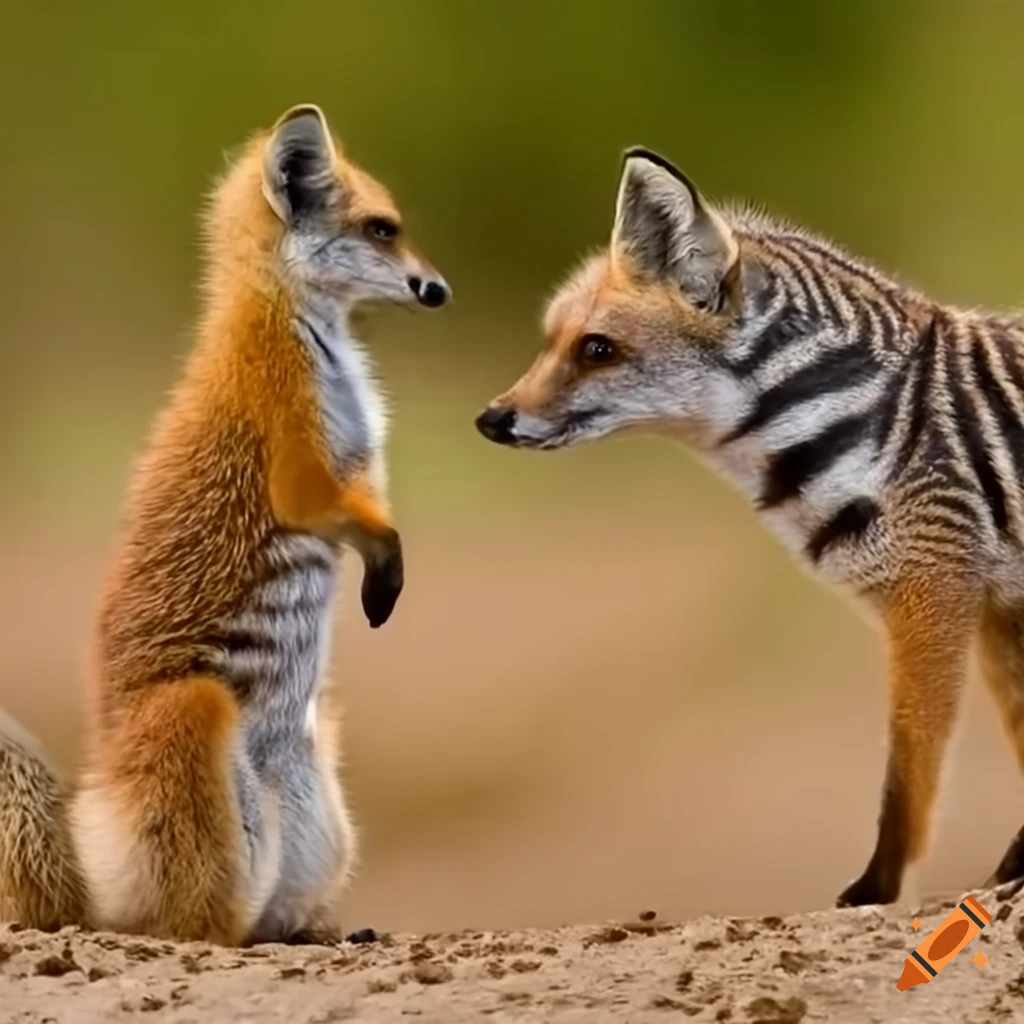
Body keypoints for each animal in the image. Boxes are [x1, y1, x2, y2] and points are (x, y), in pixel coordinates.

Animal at [0, 103, 448, 943]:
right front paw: (386, 576)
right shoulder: (304, 470)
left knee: (277, 915)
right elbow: (362, 526)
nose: (437, 289)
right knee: (198, 929)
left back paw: (319, 930)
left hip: (320, 803)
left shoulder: (364, 472)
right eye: (381, 230)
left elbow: (381, 520)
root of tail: (89, 896)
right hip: (199, 718)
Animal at [476, 145, 1024, 909]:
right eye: (552, 342)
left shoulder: (936, 595)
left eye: (597, 350)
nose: (491, 420)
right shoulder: (996, 610)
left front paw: (877, 888)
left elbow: (908, 770)